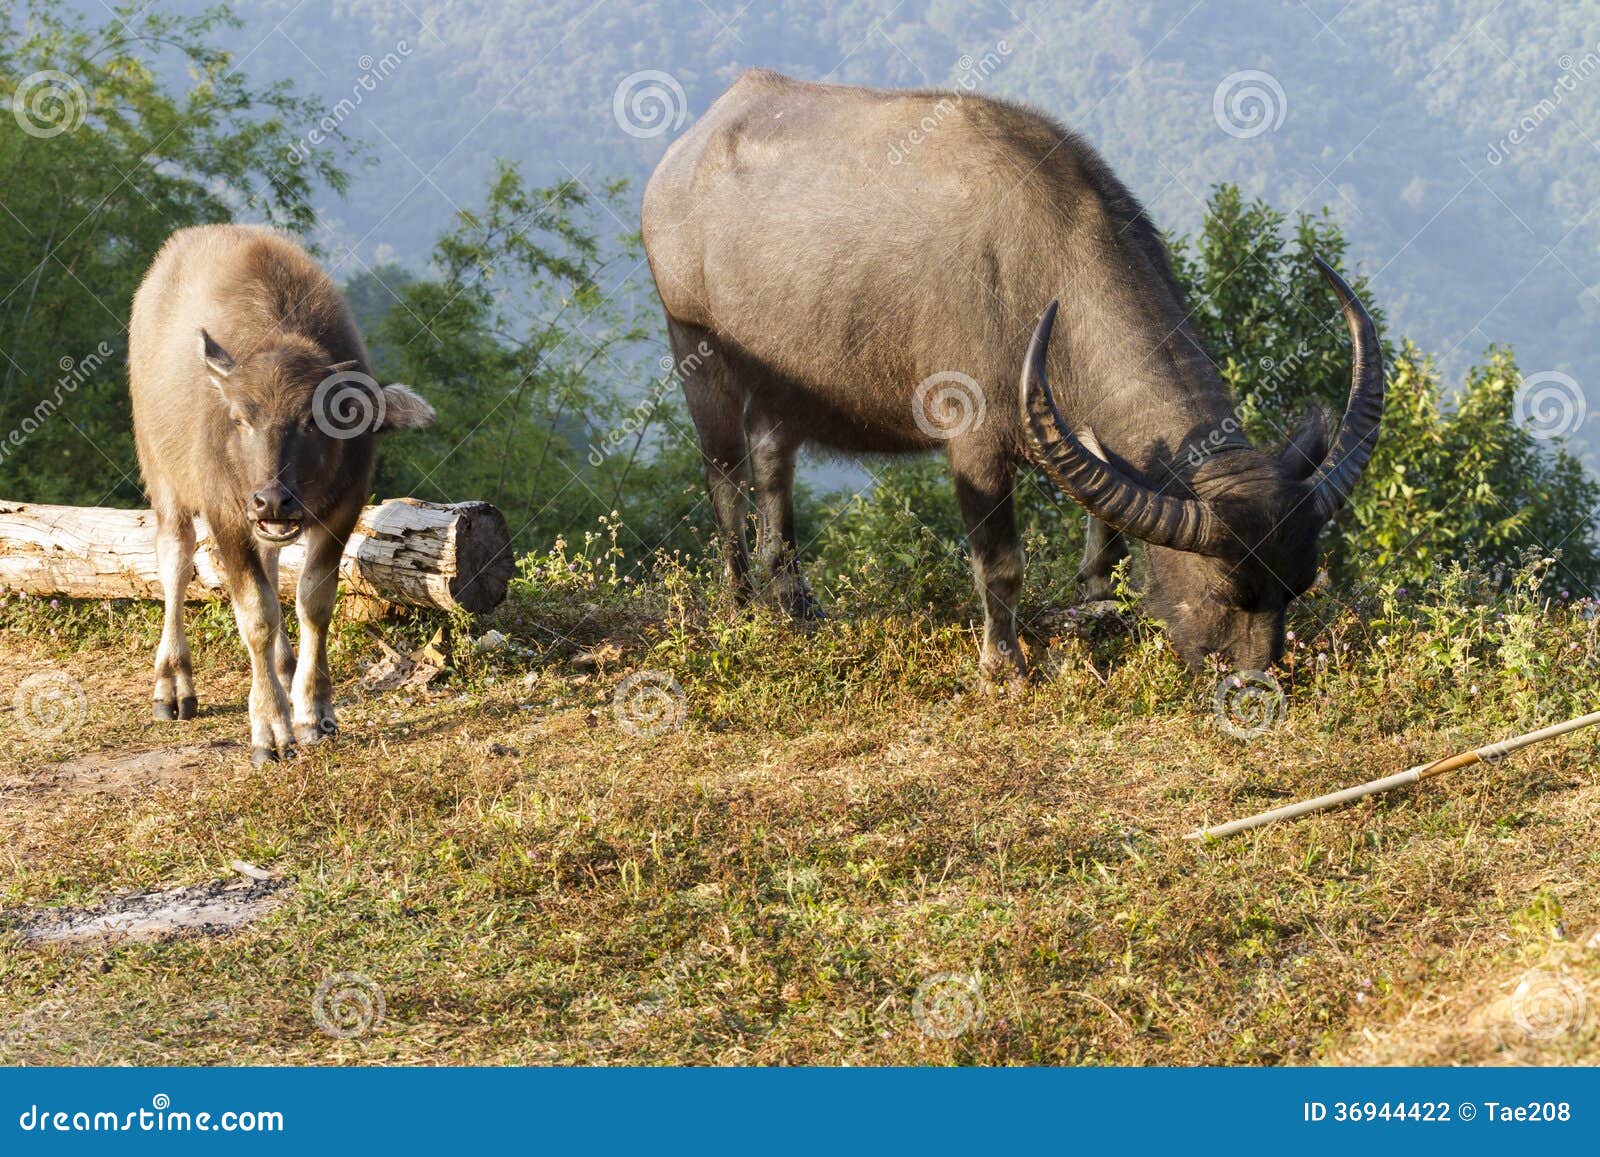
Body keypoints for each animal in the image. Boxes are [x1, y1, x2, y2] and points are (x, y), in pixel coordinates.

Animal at [129, 224, 435, 765]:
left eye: (314, 420)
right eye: (238, 418)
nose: (272, 499)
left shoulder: (344, 507)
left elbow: (313, 600)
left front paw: (313, 710)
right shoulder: (226, 512)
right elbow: (254, 612)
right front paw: (271, 728)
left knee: (271, 569)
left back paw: (284, 665)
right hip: (164, 478)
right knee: (175, 561)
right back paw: (173, 684)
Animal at [641, 70, 1383, 679]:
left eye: (1300, 584)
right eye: (1224, 591)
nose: (1256, 681)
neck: (1041, 265)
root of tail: (692, 145)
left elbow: (1106, 539)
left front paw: (1101, 612)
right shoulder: (973, 441)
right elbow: (1000, 564)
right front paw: (1004, 663)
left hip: (784, 380)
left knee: (773, 461)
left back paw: (794, 601)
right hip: (694, 345)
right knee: (725, 472)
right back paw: (740, 603)